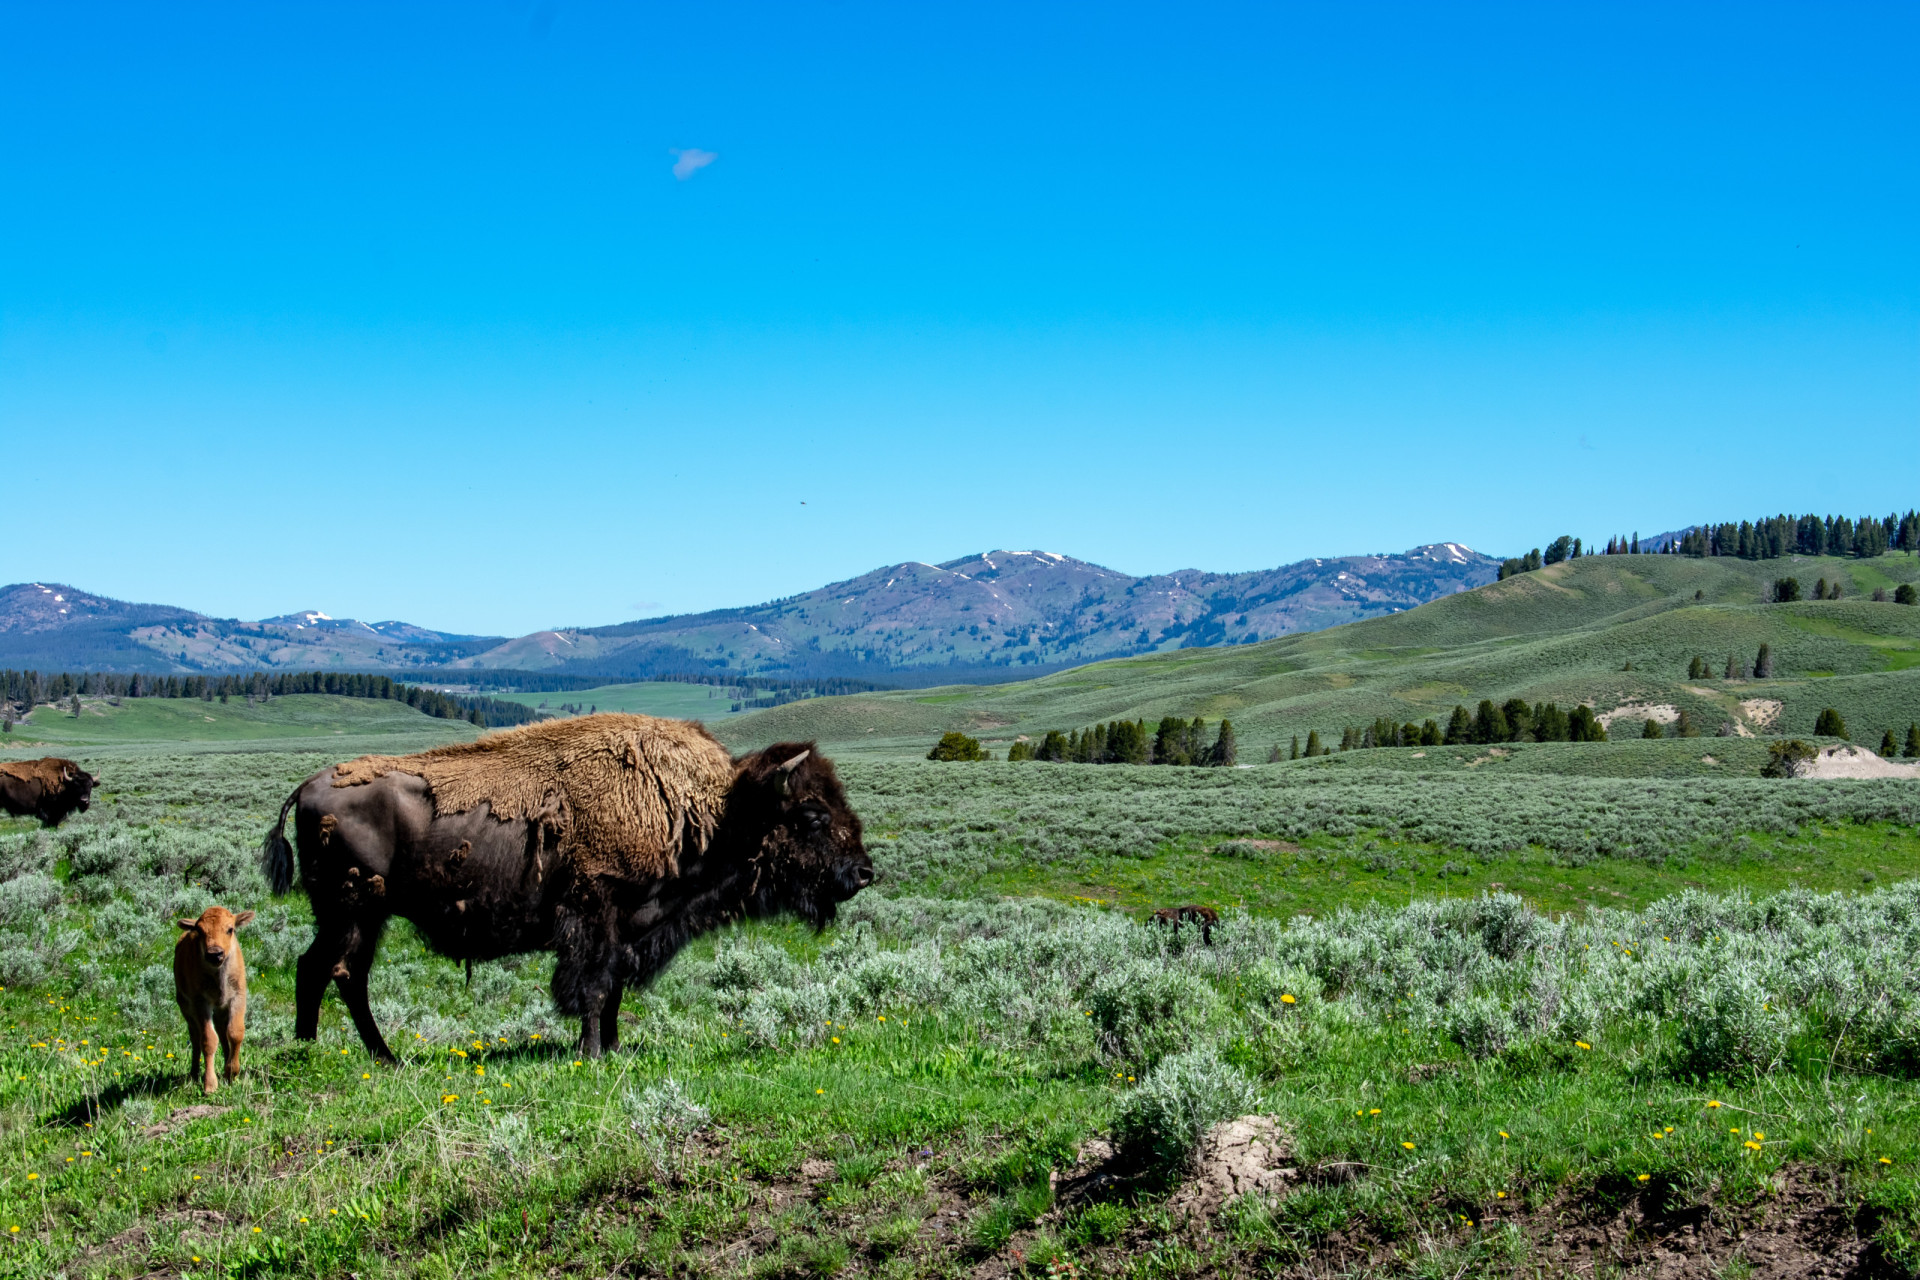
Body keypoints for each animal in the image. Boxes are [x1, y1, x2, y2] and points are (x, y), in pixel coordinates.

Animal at [263, 714, 872, 1061]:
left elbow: (614, 989)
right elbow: (594, 988)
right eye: (811, 814)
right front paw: (592, 1054)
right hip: (351, 910)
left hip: (362, 915)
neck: (713, 813)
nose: (865, 872)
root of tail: (307, 785)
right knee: (328, 970)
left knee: (337, 972)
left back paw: (363, 1054)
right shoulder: (595, 917)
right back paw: (338, 1053)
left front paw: (616, 1048)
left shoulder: (626, 931)